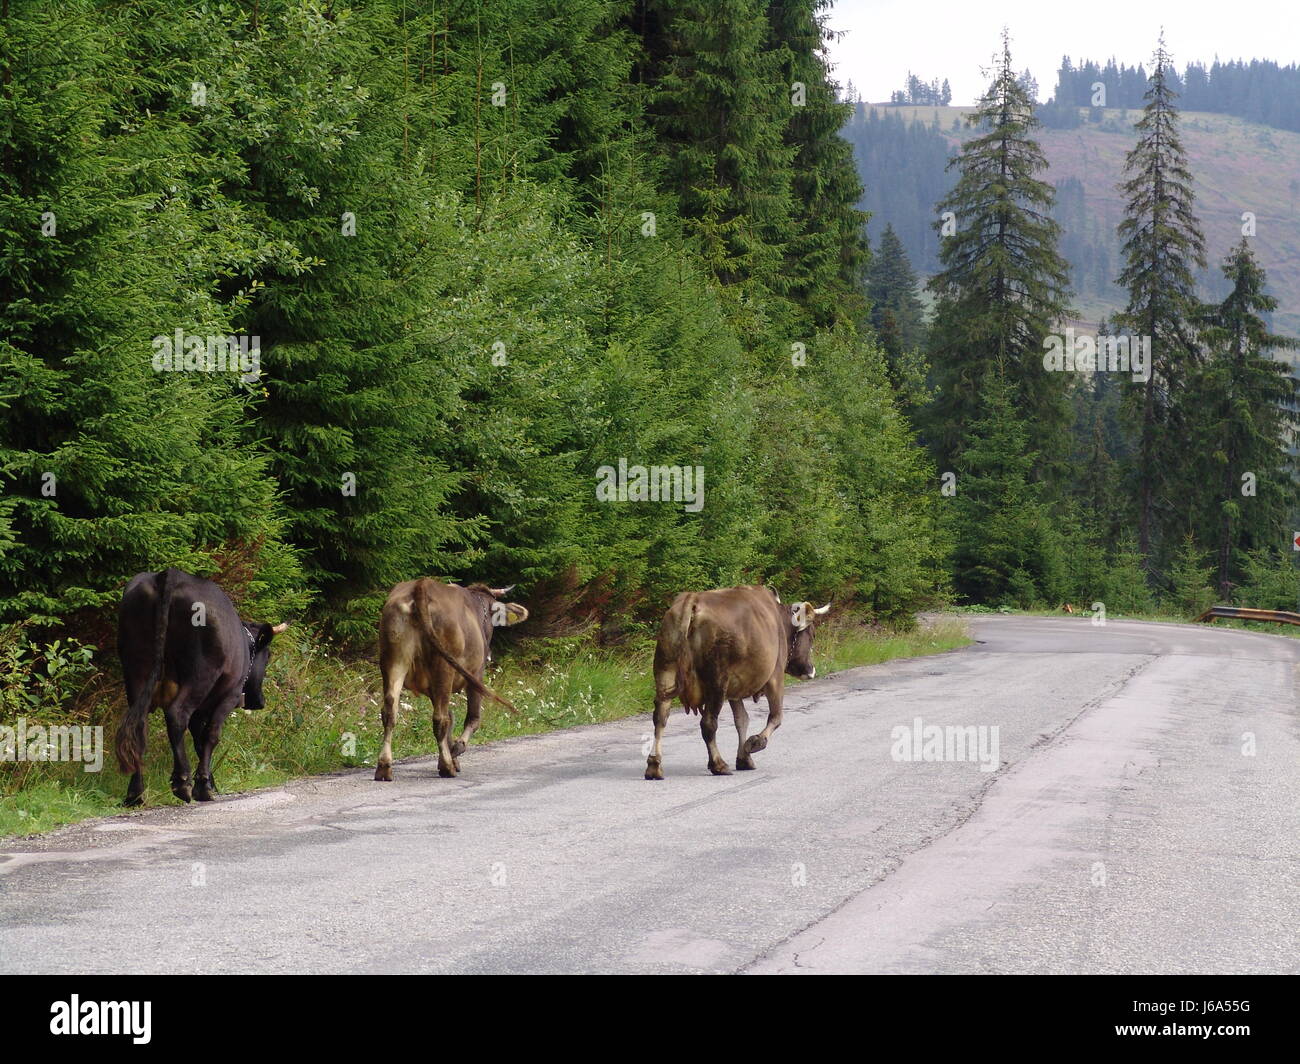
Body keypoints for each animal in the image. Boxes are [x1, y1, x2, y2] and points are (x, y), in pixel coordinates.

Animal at [115, 568, 288, 806]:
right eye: (268, 655)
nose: (259, 701)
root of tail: (169, 574)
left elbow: (198, 738)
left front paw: (209, 782)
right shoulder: (228, 696)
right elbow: (211, 735)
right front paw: (205, 786)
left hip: (135, 668)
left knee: (139, 726)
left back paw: (135, 793)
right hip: (201, 673)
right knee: (177, 714)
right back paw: (182, 782)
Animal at [375, 579, 528, 780]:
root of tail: (421, 585)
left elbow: (451, 715)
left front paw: (449, 754)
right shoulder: (476, 675)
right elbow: (473, 718)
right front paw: (454, 751)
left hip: (393, 659)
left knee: (390, 711)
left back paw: (384, 766)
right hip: (444, 667)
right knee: (440, 718)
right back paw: (447, 767)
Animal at [644, 586, 829, 780]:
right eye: (812, 634)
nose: (811, 670)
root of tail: (692, 600)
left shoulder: (735, 689)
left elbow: (742, 719)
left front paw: (744, 758)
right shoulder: (775, 677)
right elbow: (776, 717)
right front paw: (754, 743)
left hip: (666, 671)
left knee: (660, 717)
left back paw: (654, 765)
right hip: (717, 682)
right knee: (708, 723)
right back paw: (718, 764)